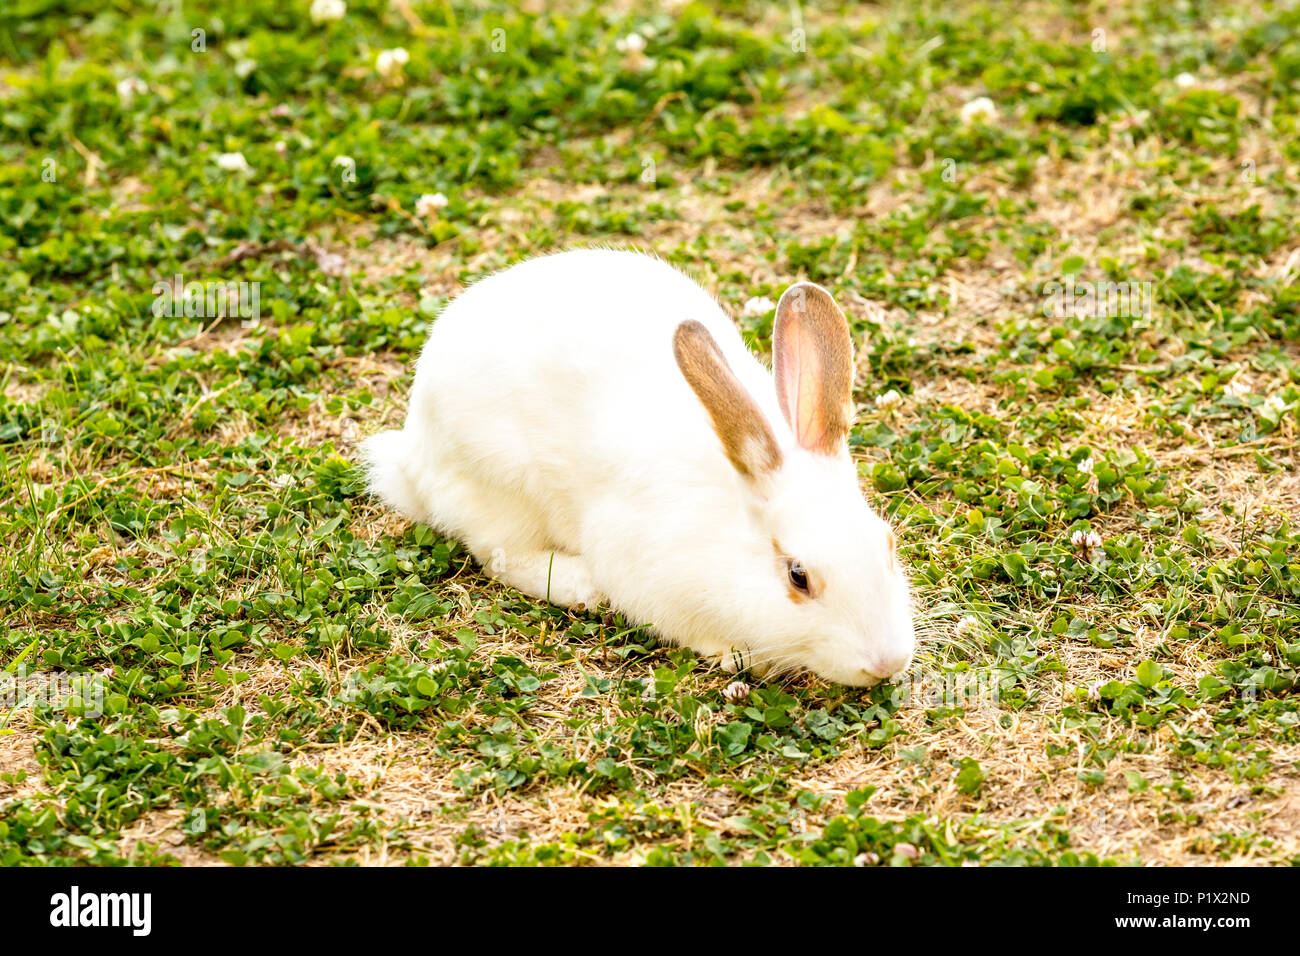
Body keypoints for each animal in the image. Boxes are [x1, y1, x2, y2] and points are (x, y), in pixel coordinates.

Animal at [362, 249, 915, 686]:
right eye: (798, 577)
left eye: (887, 545)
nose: (885, 663)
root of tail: (412, 452)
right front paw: (738, 656)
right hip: (501, 484)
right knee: (498, 556)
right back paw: (581, 586)